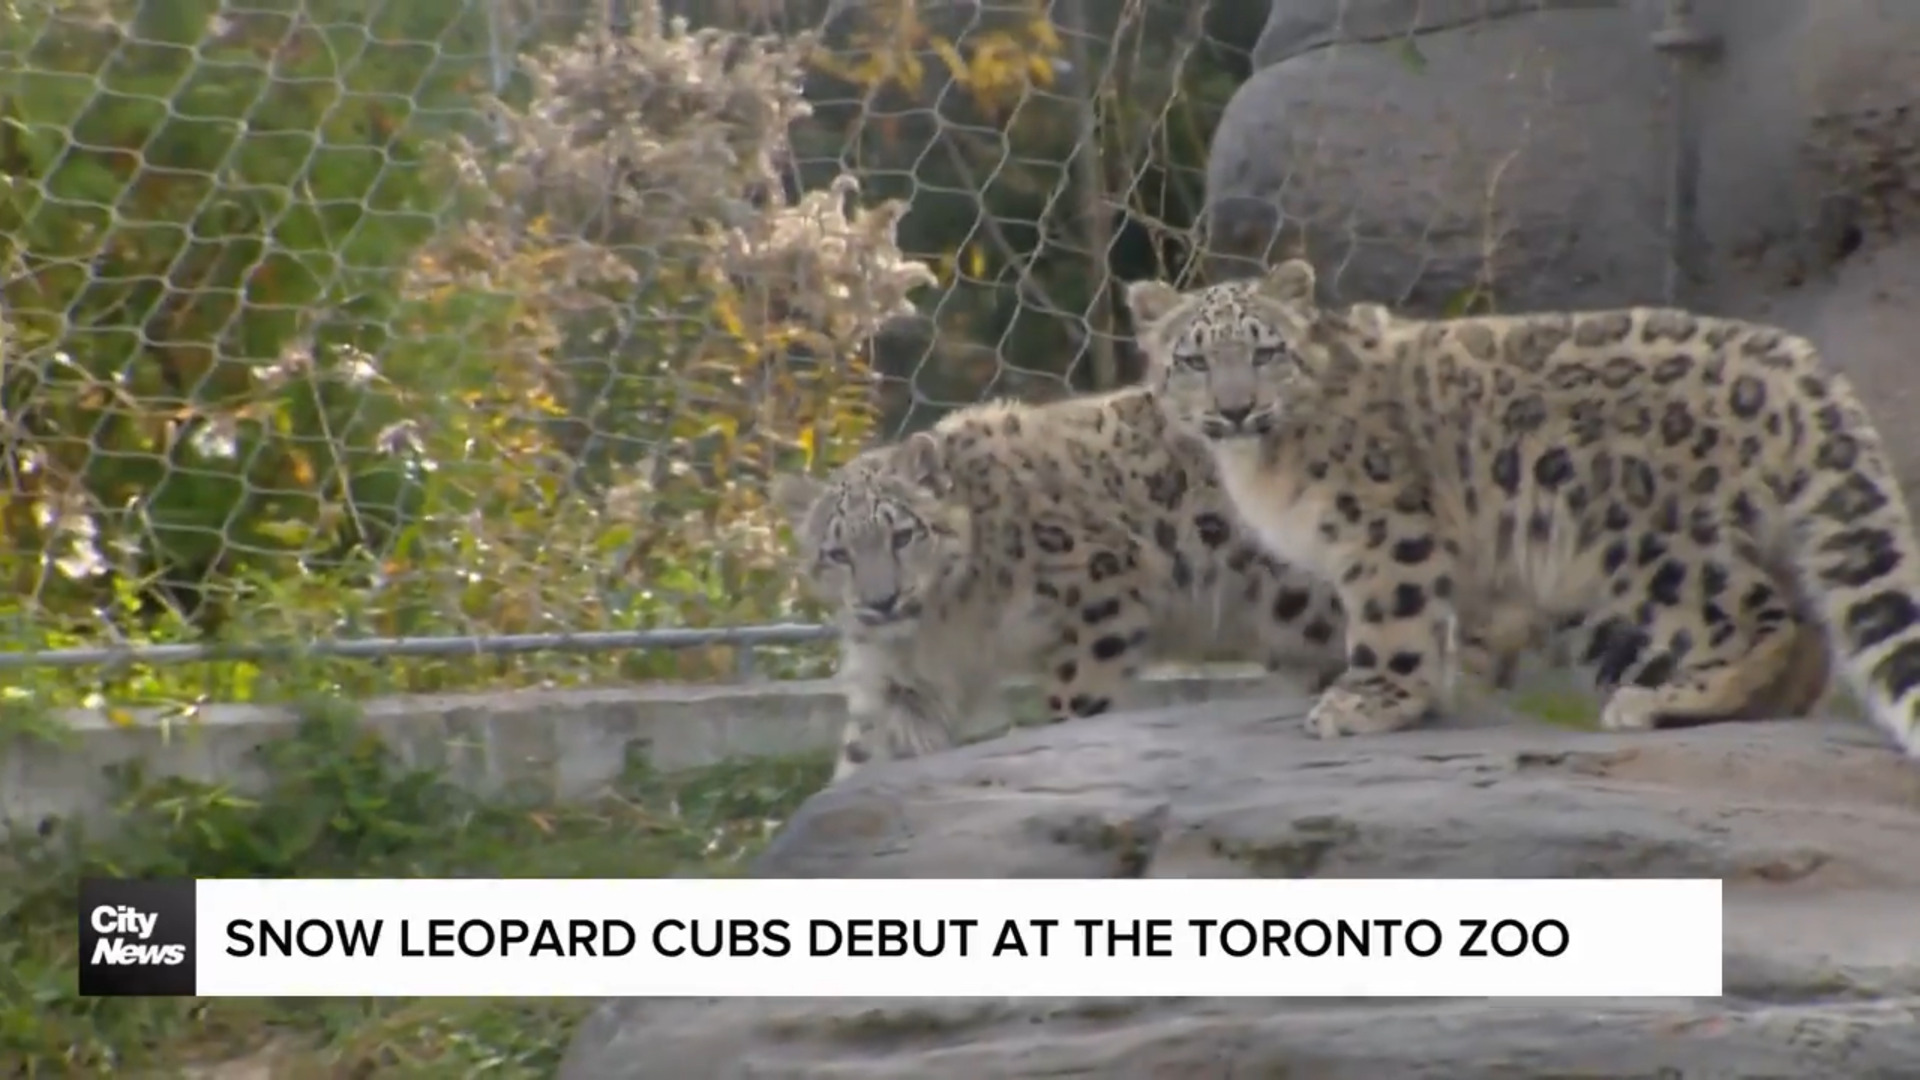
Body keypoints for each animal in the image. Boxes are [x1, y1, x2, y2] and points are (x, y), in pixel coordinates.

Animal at [771, 386, 1556, 781]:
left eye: (904, 534)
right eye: (836, 551)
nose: (881, 600)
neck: (946, 622)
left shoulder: (1100, 591)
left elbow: (1076, 698)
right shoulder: (894, 678)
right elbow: (867, 751)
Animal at [1122, 259, 1883, 750]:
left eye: (1266, 351)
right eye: (1192, 360)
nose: (1235, 409)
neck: (1259, 465)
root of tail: (1787, 357)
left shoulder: (1385, 529)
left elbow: (1393, 618)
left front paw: (1368, 701)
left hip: (1658, 538)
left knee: (1757, 617)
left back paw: (1662, 699)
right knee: (1807, 629)